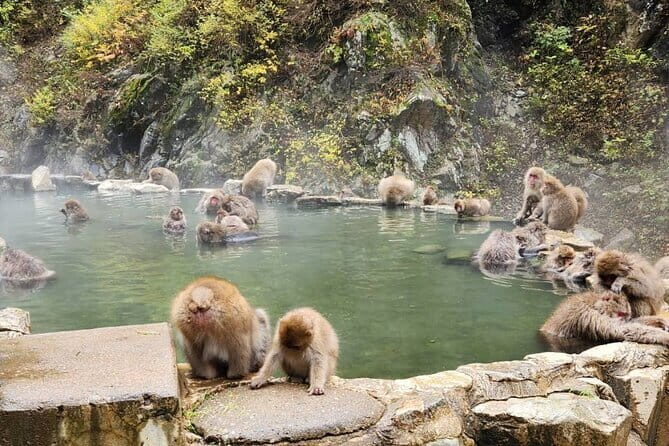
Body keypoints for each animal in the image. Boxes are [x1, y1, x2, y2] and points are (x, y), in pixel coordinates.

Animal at [540, 291, 669, 347]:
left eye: (625, 315)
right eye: (621, 314)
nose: (626, 316)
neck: (594, 305)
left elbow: (628, 324)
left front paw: (658, 321)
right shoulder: (589, 315)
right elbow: (623, 329)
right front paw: (664, 336)